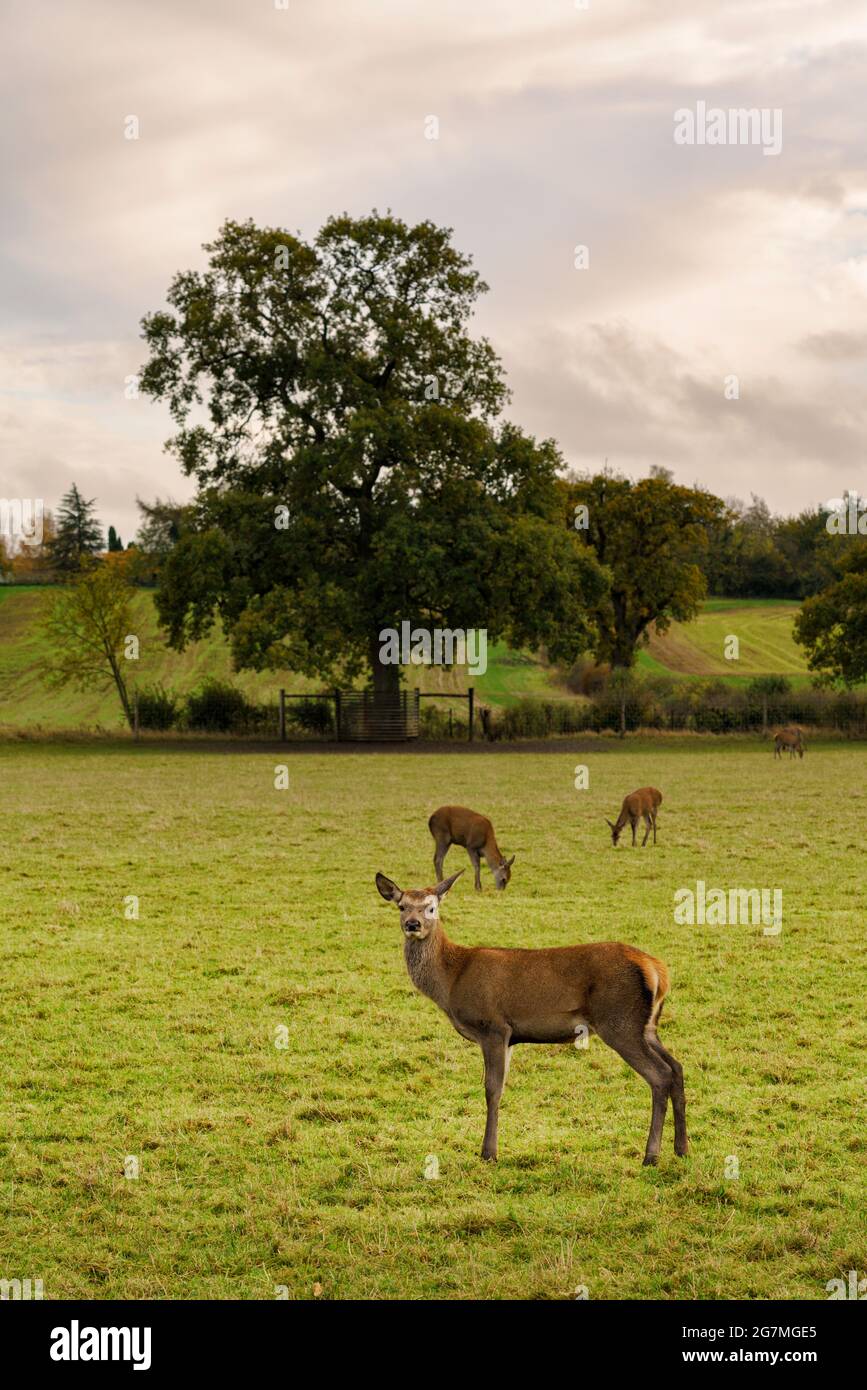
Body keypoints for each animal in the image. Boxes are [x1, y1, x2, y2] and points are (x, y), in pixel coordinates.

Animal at [375, 870, 688, 1166]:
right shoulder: (510, 1036)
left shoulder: (493, 1026)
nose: (412, 924)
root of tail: (657, 970)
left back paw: (651, 1155)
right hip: (647, 1026)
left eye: (431, 907)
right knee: (676, 1067)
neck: (452, 979)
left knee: (660, 1074)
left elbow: (492, 1089)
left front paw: (488, 1153)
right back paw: (681, 1149)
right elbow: (499, 1087)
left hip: (619, 1020)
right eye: (401, 906)